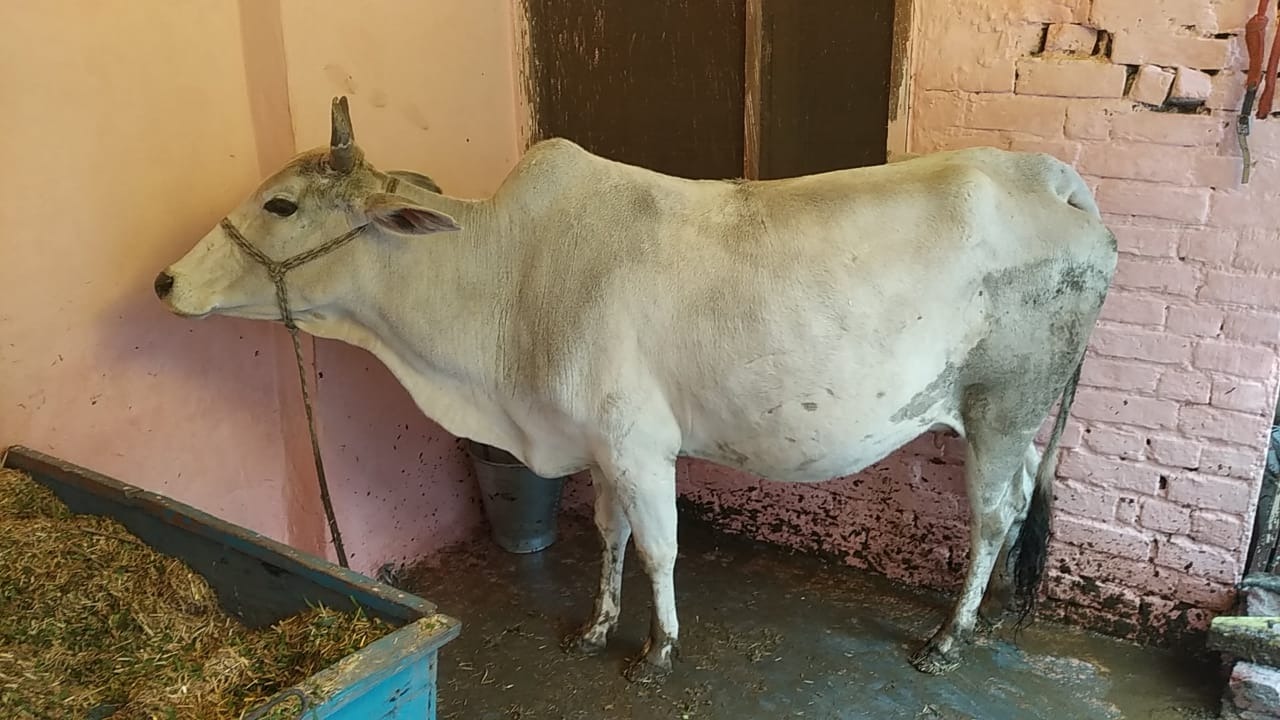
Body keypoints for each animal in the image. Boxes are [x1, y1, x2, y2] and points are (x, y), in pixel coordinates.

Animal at [155, 97, 1117, 681]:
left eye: (282, 205)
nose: (164, 282)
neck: (508, 276)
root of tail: (1048, 175)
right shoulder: (595, 445)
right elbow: (609, 534)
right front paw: (594, 625)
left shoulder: (637, 443)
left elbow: (658, 546)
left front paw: (657, 647)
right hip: (1009, 421)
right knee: (1019, 502)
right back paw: (982, 618)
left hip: (1002, 407)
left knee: (992, 515)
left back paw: (948, 636)